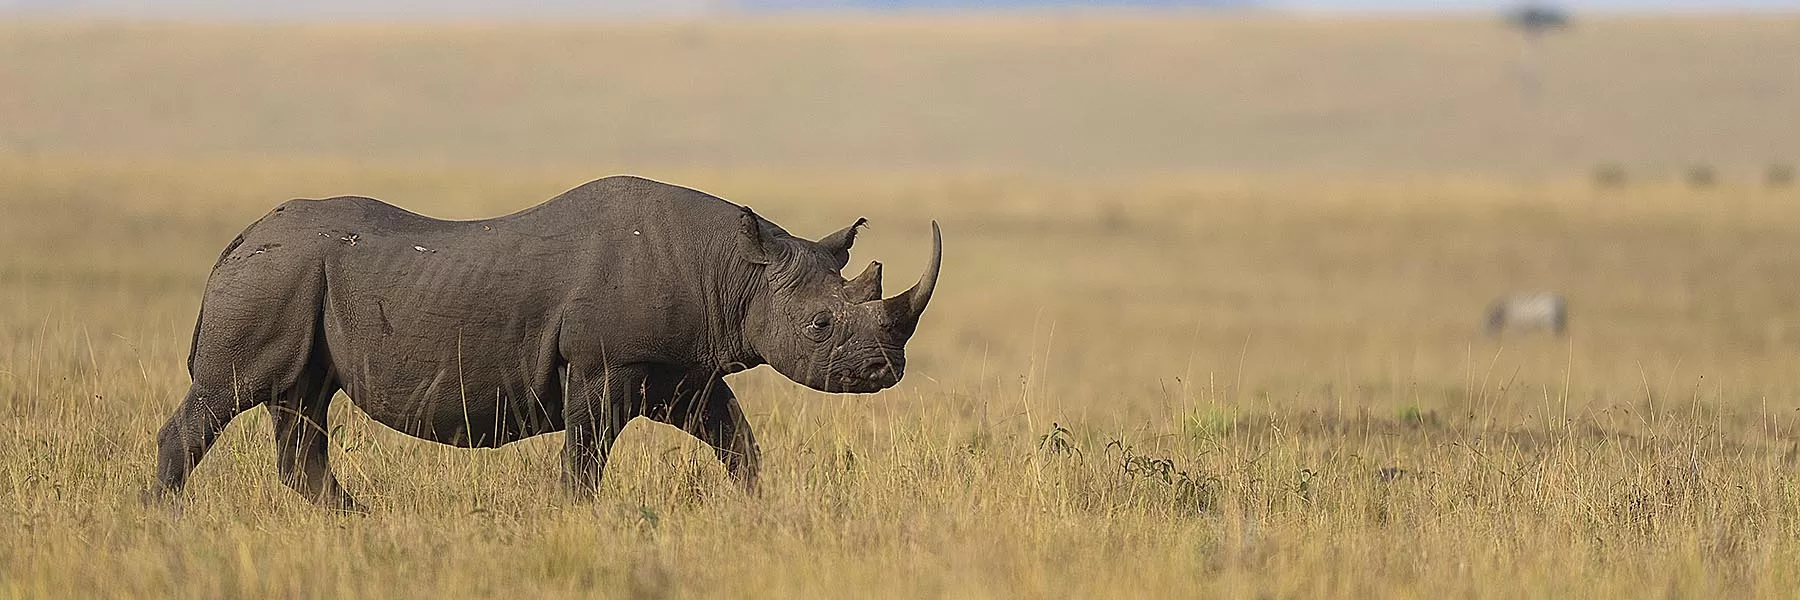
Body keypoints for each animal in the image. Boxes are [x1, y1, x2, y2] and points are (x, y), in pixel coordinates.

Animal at [144, 175, 941, 512]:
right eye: (819, 326)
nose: (883, 370)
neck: (738, 272)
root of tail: (238, 239)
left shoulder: (682, 370)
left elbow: (735, 440)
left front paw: (756, 510)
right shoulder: (603, 363)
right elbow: (586, 455)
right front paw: (576, 516)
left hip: (293, 279)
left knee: (301, 403)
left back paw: (355, 520)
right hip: (273, 274)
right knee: (226, 395)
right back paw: (164, 519)